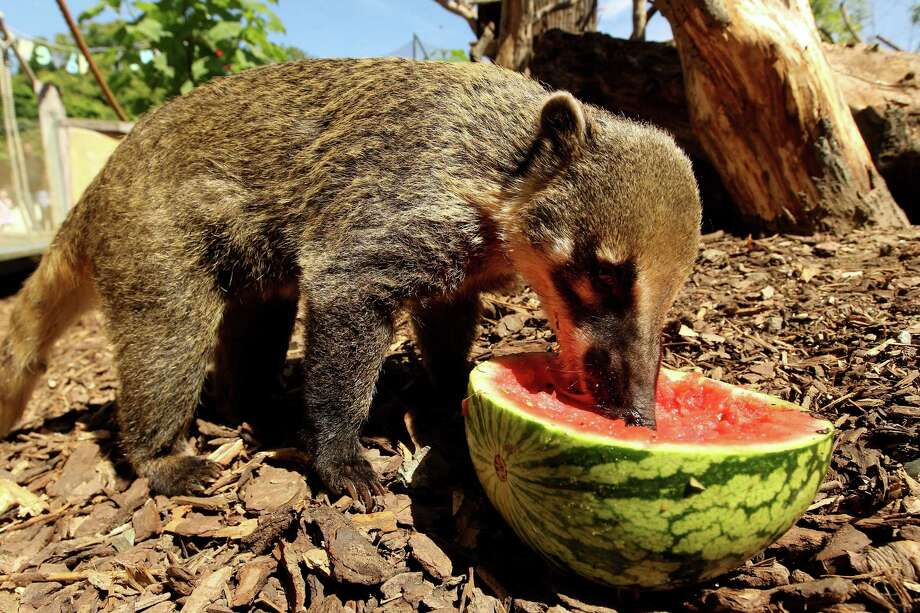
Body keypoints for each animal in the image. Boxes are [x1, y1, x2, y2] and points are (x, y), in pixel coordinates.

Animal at [0, 58, 701, 507]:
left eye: (673, 290)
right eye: (606, 274)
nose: (639, 416)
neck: (505, 162)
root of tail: (100, 185)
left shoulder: (460, 259)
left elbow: (446, 316)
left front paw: (450, 385)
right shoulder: (408, 200)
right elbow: (347, 289)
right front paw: (338, 451)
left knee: (258, 322)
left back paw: (249, 401)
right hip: (153, 241)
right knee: (168, 339)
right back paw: (157, 453)